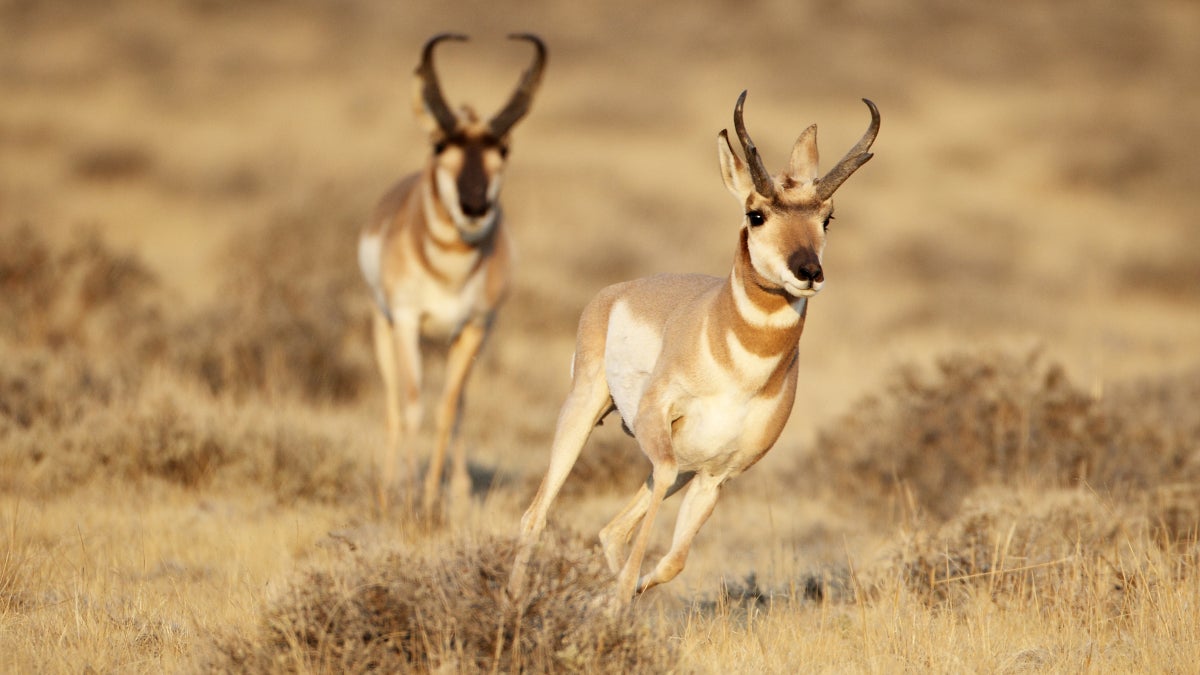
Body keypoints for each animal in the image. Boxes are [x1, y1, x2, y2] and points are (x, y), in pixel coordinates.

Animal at [359, 33, 546, 512]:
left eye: (503, 149)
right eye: (440, 145)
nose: (475, 206)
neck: (450, 271)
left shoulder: (475, 327)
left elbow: (447, 408)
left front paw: (431, 496)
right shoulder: (407, 322)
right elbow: (412, 406)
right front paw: (408, 495)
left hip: (455, 341)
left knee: (459, 403)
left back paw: (457, 489)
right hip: (386, 329)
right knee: (393, 404)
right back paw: (387, 487)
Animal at [508, 91, 879, 603]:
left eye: (827, 217)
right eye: (756, 214)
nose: (808, 271)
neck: (739, 368)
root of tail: (617, 292)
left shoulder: (715, 476)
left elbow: (673, 562)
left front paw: (617, 597)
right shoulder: (660, 434)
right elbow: (651, 531)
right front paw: (615, 599)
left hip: (683, 464)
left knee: (611, 530)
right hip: (583, 415)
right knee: (535, 515)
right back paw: (514, 602)